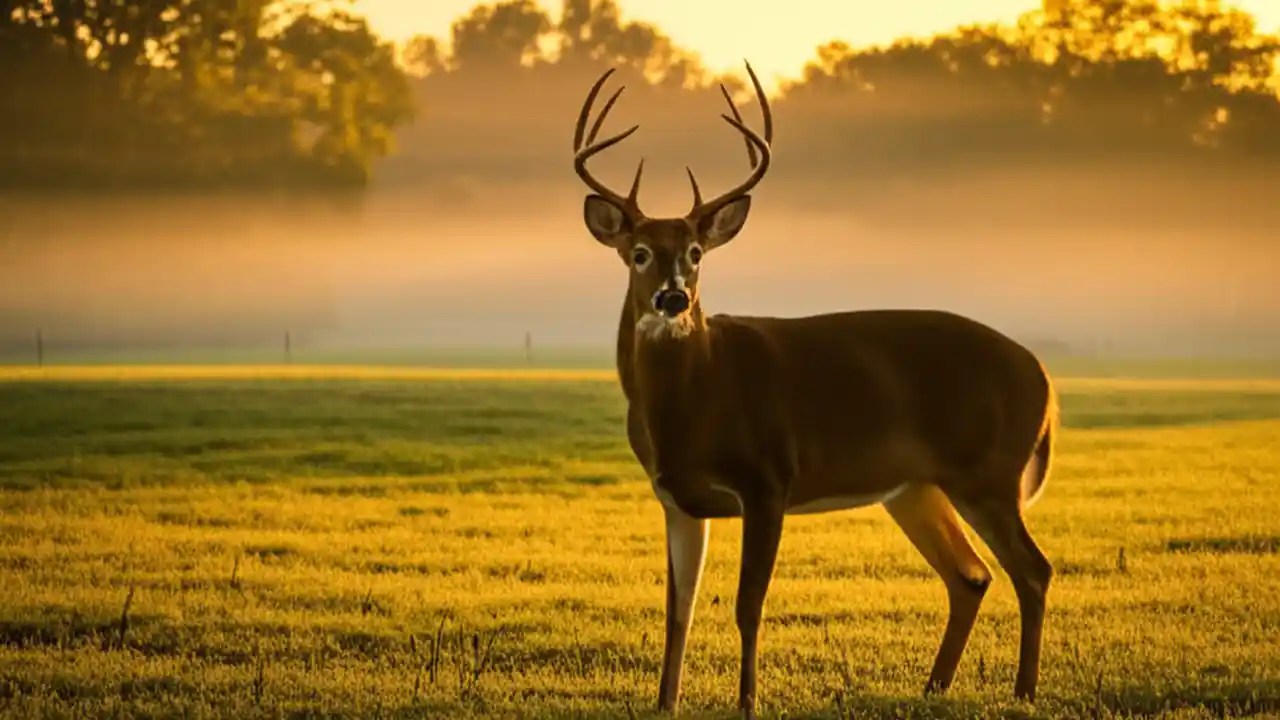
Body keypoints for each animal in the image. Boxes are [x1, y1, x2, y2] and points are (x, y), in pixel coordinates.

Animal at [570, 62, 1059, 719]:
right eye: (640, 253)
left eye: (696, 253)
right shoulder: (674, 498)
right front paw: (664, 704)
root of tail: (1045, 379)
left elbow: (748, 606)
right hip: (915, 487)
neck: (694, 400)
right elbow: (679, 612)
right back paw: (933, 687)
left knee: (1032, 570)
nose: (674, 298)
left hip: (988, 472)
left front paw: (748, 702)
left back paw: (1023, 692)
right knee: (971, 574)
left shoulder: (768, 477)